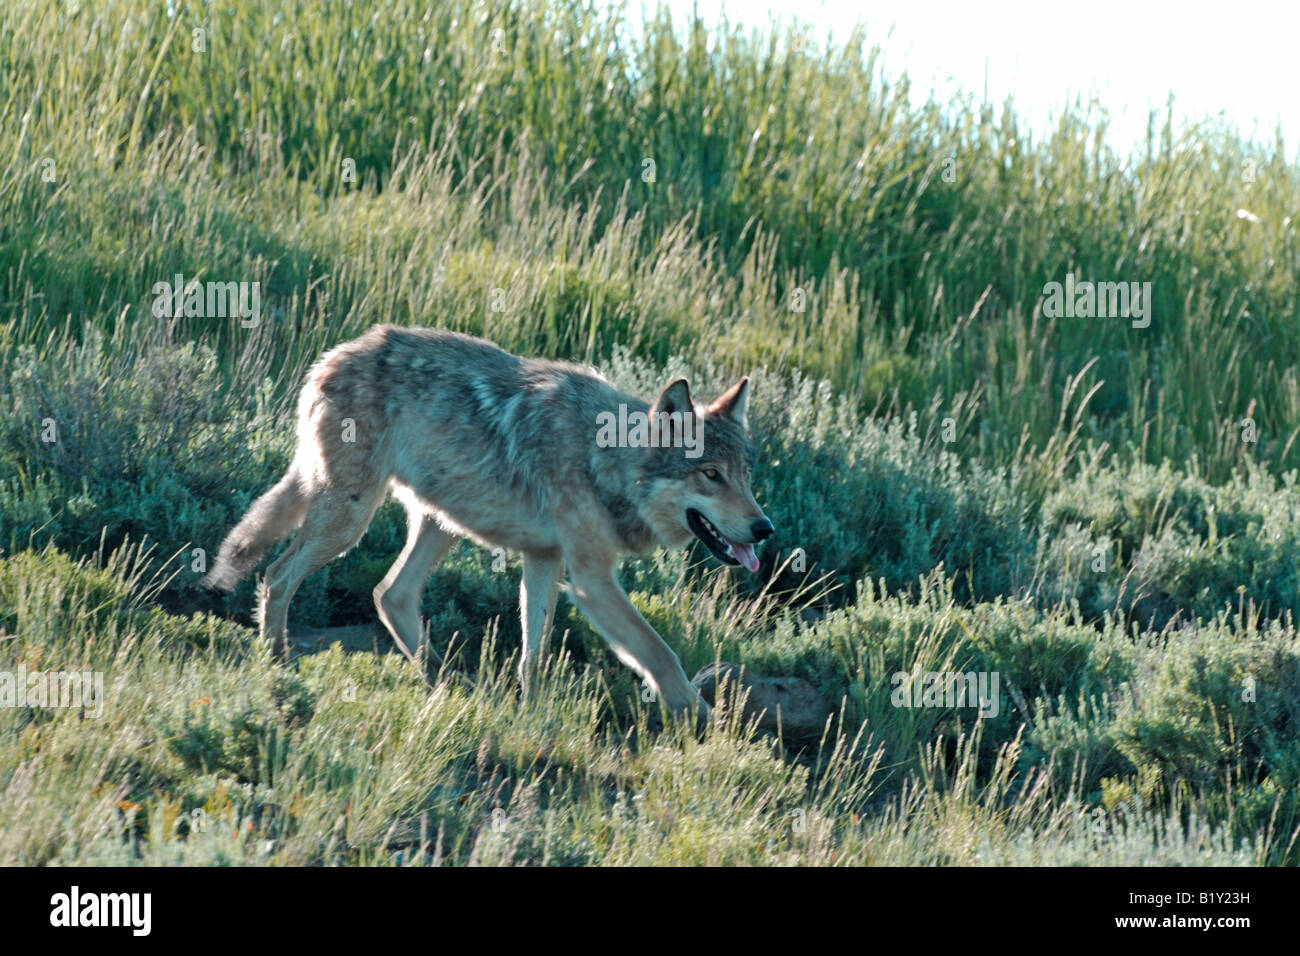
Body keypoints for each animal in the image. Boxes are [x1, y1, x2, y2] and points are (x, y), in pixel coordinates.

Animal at [203, 325, 773, 719]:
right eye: (710, 475)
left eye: (746, 476)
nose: (764, 529)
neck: (602, 458)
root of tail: (330, 357)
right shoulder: (591, 579)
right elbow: (660, 653)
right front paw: (706, 725)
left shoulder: (545, 560)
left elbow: (534, 652)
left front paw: (533, 712)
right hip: (349, 520)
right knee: (279, 576)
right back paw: (279, 665)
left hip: (438, 525)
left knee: (390, 594)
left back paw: (443, 682)